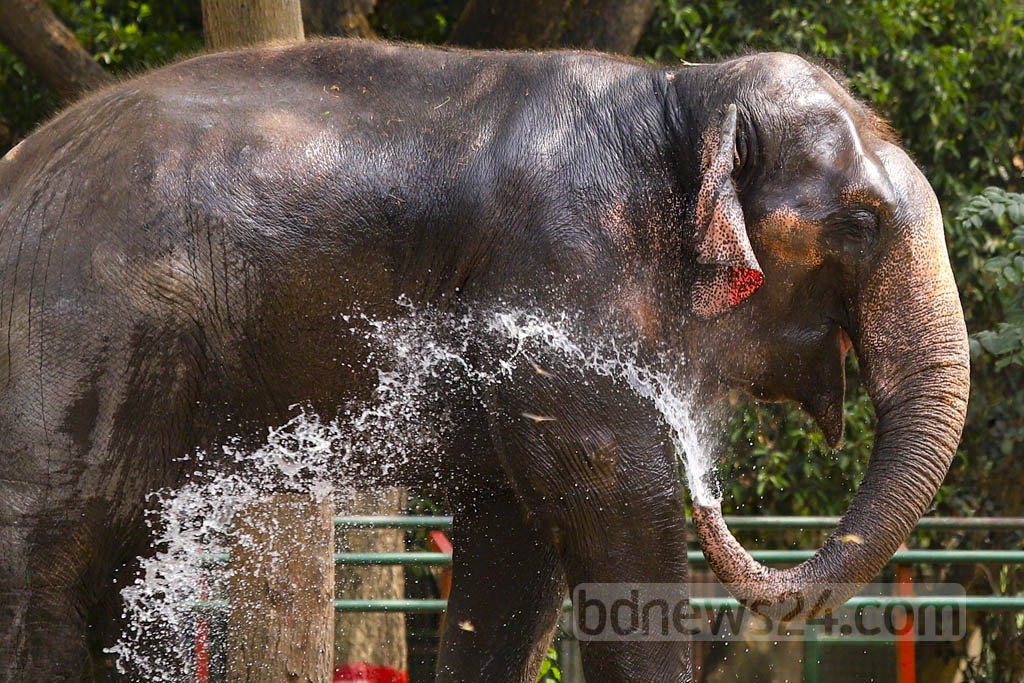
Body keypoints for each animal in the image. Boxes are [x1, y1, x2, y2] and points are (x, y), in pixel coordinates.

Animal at [0, 39, 969, 682]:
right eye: (858, 223)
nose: (717, 500)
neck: (679, 92)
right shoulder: (560, 271)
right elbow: (618, 491)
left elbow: (518, 544)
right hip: (81, 325)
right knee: (46, 554)